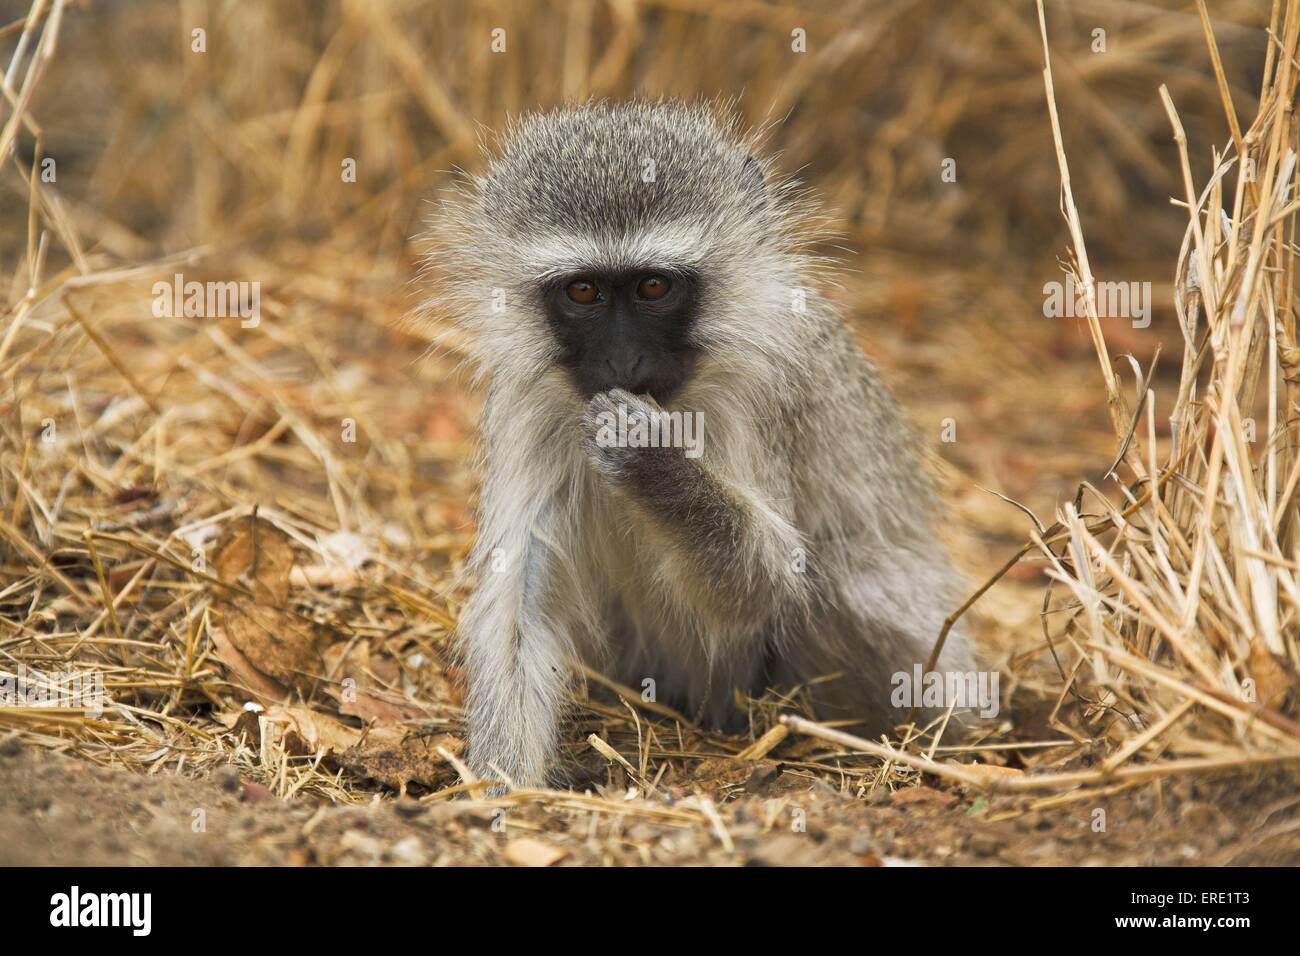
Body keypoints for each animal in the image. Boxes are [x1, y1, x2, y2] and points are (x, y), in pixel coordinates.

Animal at [420, 100, 975, 789]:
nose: (623, 361)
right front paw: (502, 790)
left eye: (654, 287)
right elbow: (522, 599)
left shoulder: (763, 397)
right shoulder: (529, 408)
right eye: (583, 291)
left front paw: (654, 462)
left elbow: (771, 580)